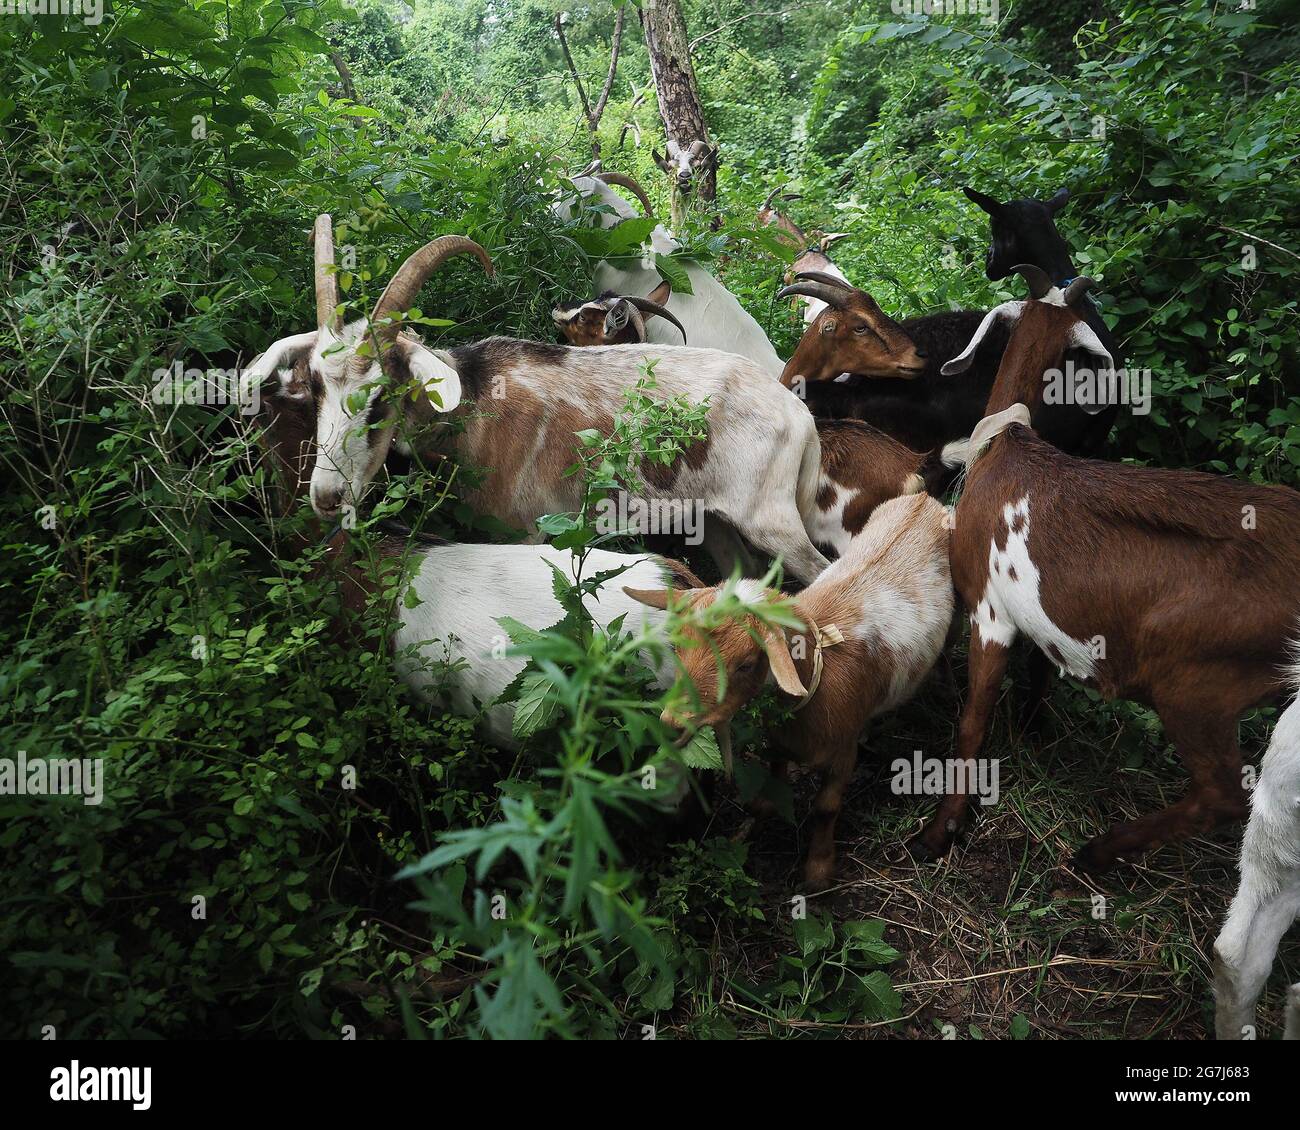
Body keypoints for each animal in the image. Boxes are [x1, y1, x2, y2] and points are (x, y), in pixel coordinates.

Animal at [246, 216, 832, 584]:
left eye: (382, 397)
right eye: (316, 386)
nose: (327, 496)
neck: (476, 402)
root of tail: (799, 416)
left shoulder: (529, 531)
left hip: (772, 520)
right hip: (715, 520)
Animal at [625, 492, 953, 889]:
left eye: (746, 663)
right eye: (678, 646)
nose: (673, 722)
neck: (820, 673)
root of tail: (924, 500)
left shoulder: (843, 748)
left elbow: (826, 808)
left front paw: (818, 870)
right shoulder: (778, 735)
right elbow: (776, 762)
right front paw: (766, 803)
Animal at [915, 264, 1300, 872]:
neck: (1006, 445)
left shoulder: (990, 611)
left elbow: (972, 721)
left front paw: (941, 830)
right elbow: (1039, 676)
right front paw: (1033, 733)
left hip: (1197, 686)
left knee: (1224, 795)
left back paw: (1095, 852)